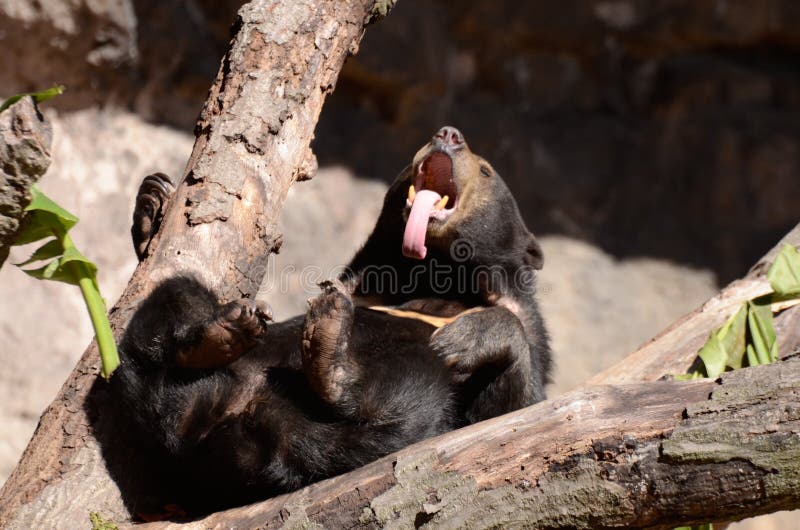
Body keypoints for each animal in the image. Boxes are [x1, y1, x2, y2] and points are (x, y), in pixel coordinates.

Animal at [112, 126, 551, 512]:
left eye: (486, 171)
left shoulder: (521, 329)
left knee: (405, 396)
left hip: (406, 413)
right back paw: (227, 332)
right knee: (178, 295)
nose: (449, 134)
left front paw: (458, 340)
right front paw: (153, 200)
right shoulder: (360, 281)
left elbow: (508, 406)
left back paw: (328, 348)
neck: (431, 272)